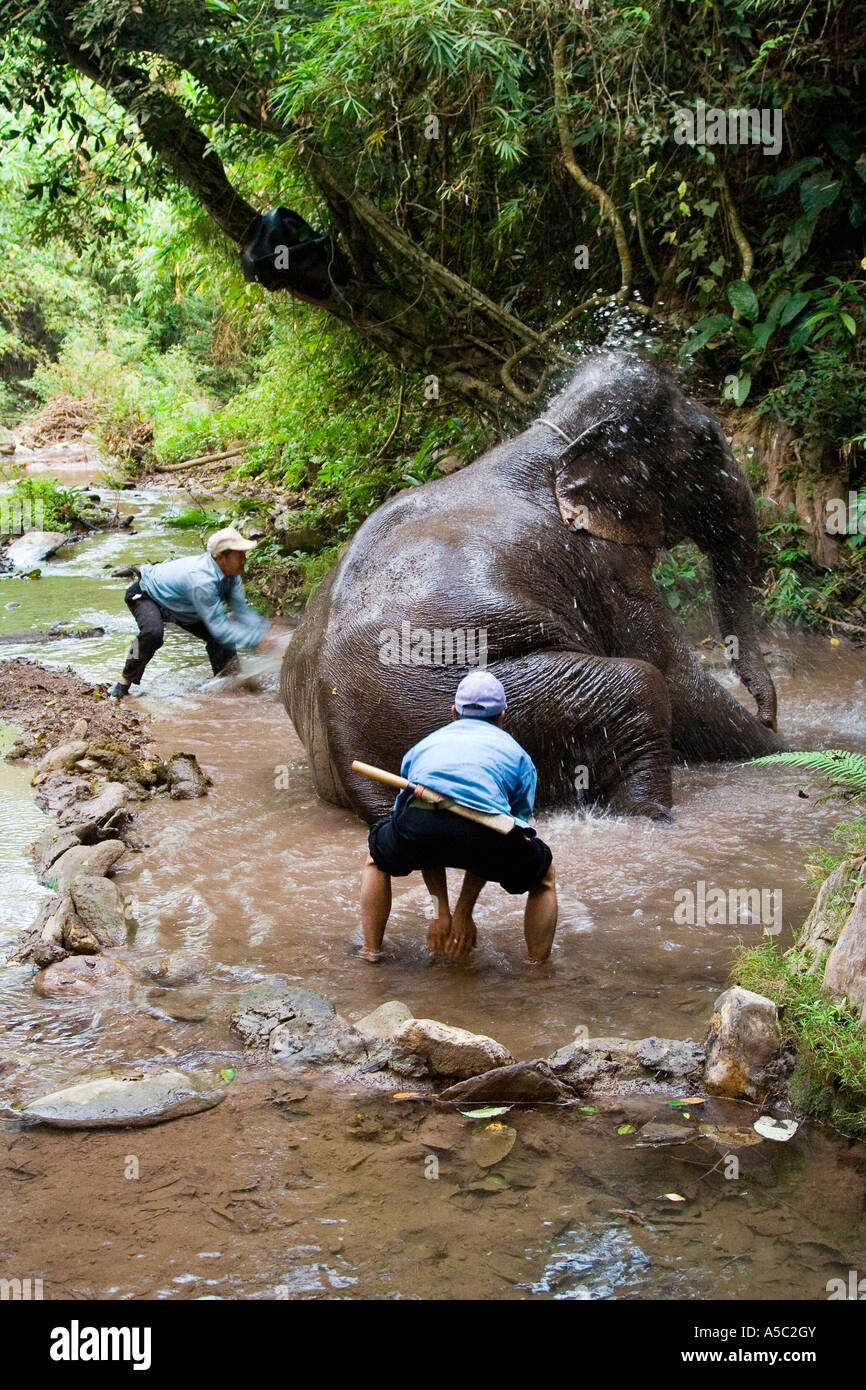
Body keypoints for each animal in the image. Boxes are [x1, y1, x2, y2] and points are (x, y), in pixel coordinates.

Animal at [281, 350, 783, 823]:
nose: (766, 711)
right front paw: (783, 748)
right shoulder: (605, 566)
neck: (560, 433)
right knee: (639, 684)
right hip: (462, 705)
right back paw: (651, 817)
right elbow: (677, 678)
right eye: (709, 442)